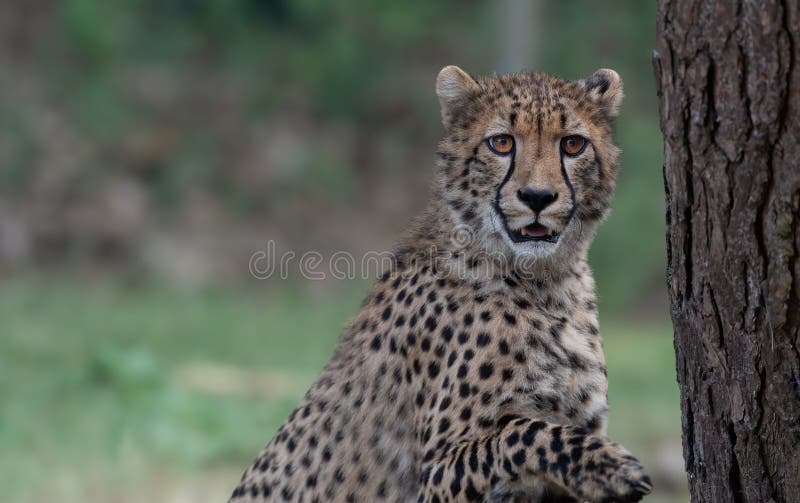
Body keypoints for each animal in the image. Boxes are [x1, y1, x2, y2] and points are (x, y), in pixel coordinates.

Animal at [229, 65, 652, 502]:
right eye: (501, 143)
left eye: (572, 144)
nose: (537, 196)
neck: (547, 285)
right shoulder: (434, 477)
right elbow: (523, 431)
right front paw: (609, 465)